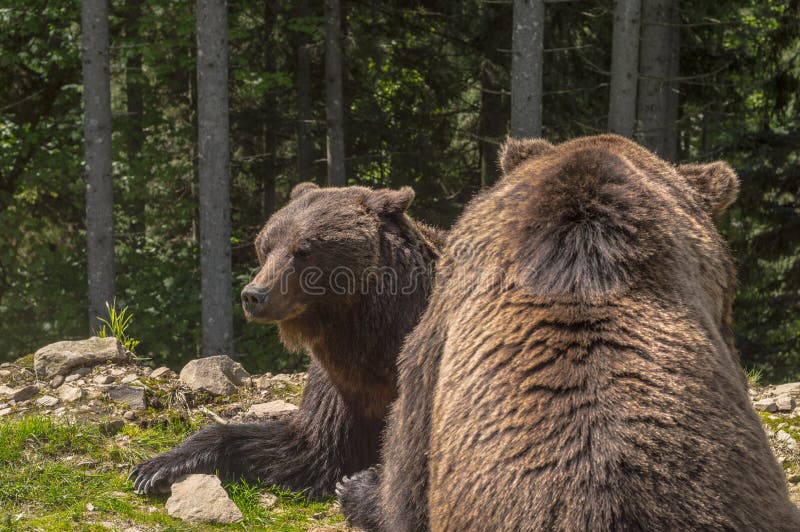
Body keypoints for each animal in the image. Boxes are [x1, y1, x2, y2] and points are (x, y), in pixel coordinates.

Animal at [129, 182, 442, 499]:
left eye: (303, 249)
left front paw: (363, 488)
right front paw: (154, 467)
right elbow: (309, 446)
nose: (253, 295)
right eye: (265, 246)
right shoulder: (341, 384)